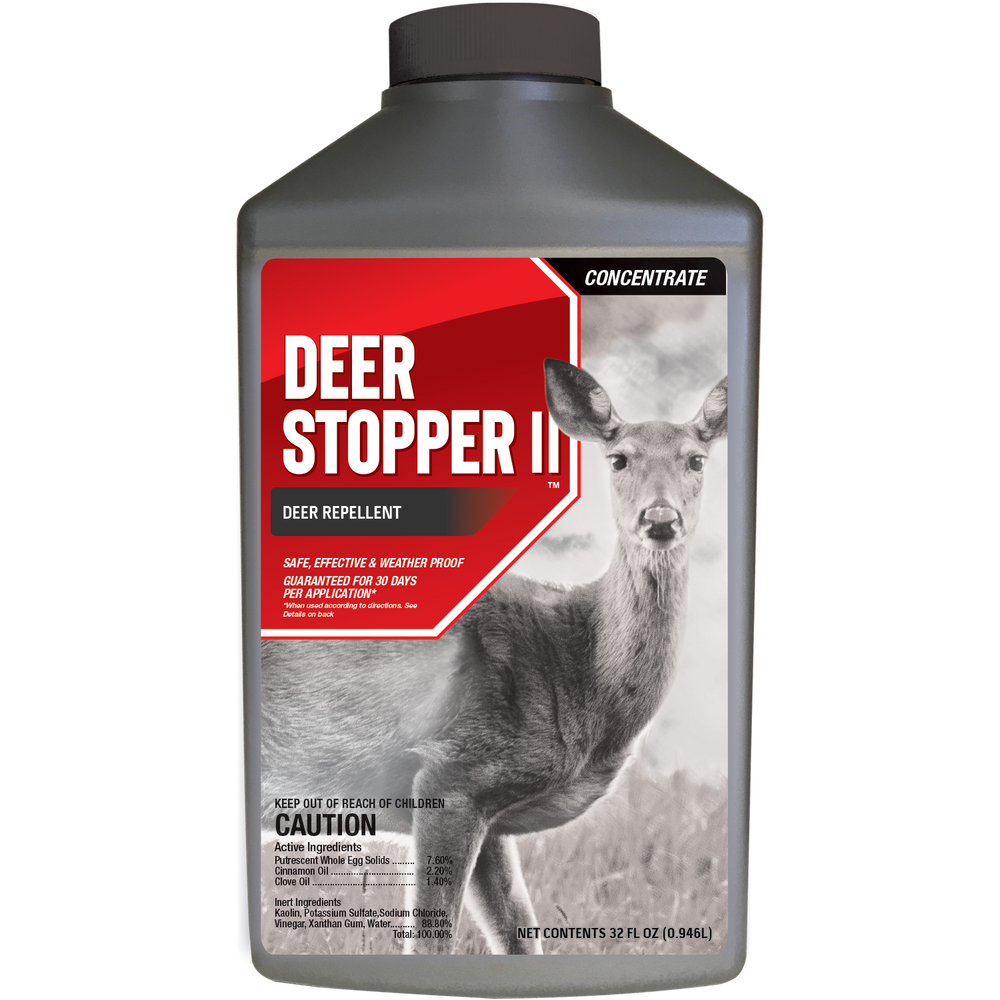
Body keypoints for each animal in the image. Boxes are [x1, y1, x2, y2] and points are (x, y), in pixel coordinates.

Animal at [261, 358, 728, 954]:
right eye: (619, 458)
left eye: (696, 459)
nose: (661, 518)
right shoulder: (454, 769)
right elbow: (432, 941)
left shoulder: (492, 809)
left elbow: (521, 936)